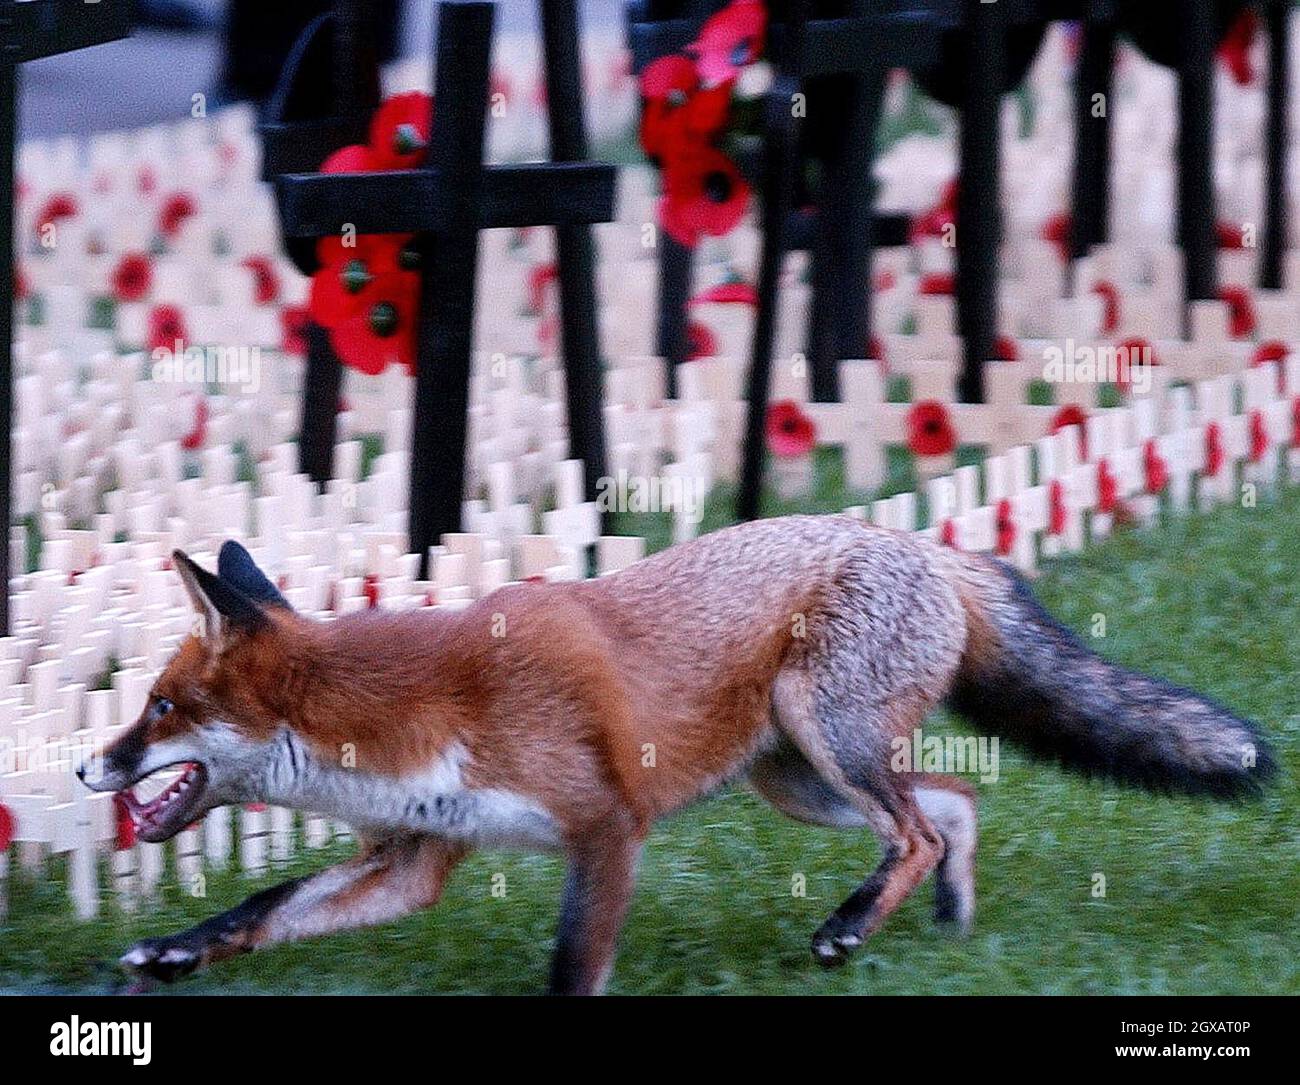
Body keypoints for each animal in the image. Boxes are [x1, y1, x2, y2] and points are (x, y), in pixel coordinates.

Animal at [79, 517, 1275, 994]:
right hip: (794, 778)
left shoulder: (608, 827)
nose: (87, 766)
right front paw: (172, 952)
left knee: (920, 825)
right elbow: (262, 906)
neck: (407, 710)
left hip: (823, 740)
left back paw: (848, 926)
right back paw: (944, 924)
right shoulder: (415, 855)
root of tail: (927, 542)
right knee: (952, 804)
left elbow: (573, 964)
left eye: (160, 706)